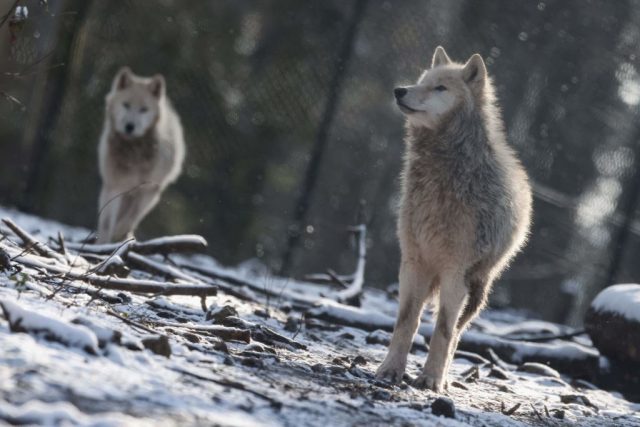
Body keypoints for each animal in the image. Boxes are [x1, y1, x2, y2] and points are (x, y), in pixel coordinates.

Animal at [96, 67, 185, 244]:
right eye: (126, 105)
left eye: (144, 109)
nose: (129, 126)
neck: (133, 152)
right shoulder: (115, 186)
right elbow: (107, 222)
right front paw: (103, 242)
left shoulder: (148, 191)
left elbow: (130, 218)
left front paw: (120, 234)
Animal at [376, 47, 532, 392]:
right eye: (422, 81)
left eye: (440, 88)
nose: (399, 90)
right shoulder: (413, 263)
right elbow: (406, 322)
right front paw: (390, 370)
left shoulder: (455, 272)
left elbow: (443, 331)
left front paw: (431, 380)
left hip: (477, 289)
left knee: (458, 333)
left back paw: (444, 378)